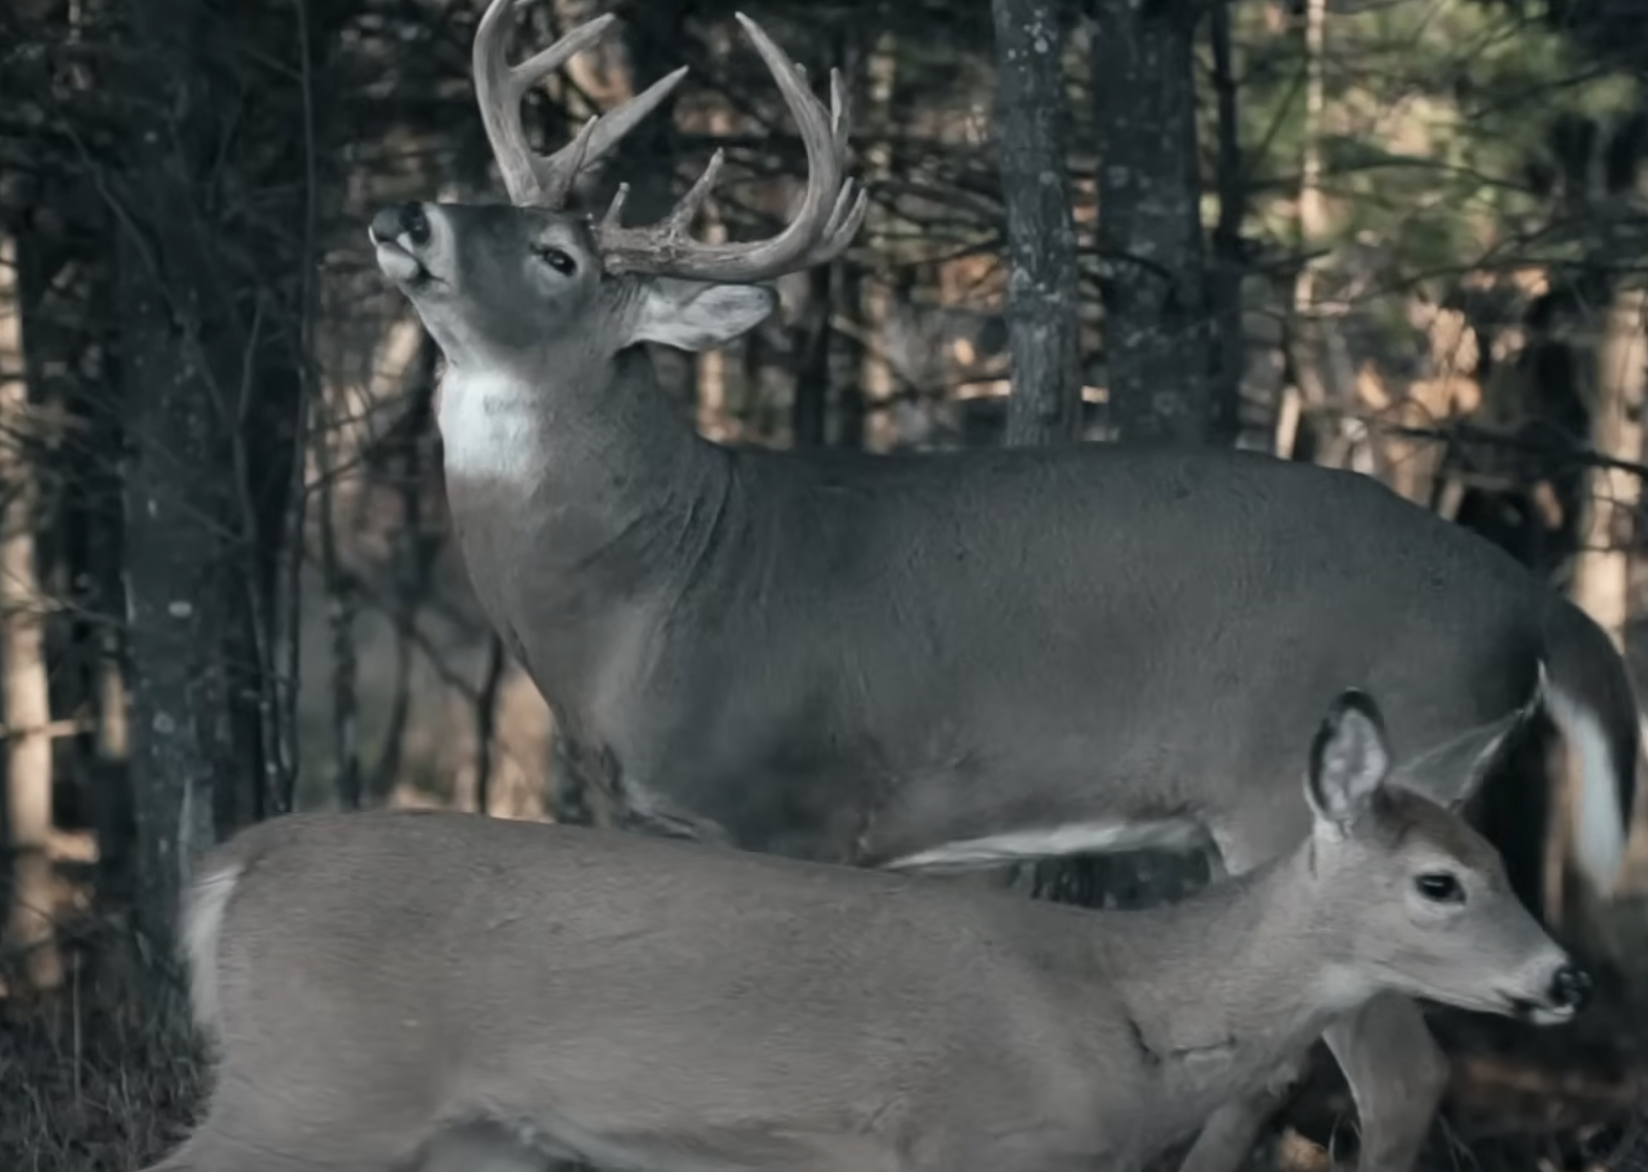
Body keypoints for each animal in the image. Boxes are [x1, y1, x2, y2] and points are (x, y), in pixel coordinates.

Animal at [143, 690, 1591, 1172]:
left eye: (1500, 858)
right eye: (1440, 883)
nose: (1564, 976)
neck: (1127, 1003)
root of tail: (232, 864)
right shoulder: (976, 1141)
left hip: (460, 1136)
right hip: (322, 1084)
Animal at [365, 5, 1640, 1172]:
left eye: (561, 258)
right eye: (494, 209)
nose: (402, 213)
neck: (659, 585)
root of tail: (1530, 601)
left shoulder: (795, 802)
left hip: (1322, 785)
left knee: (1396, 1071)